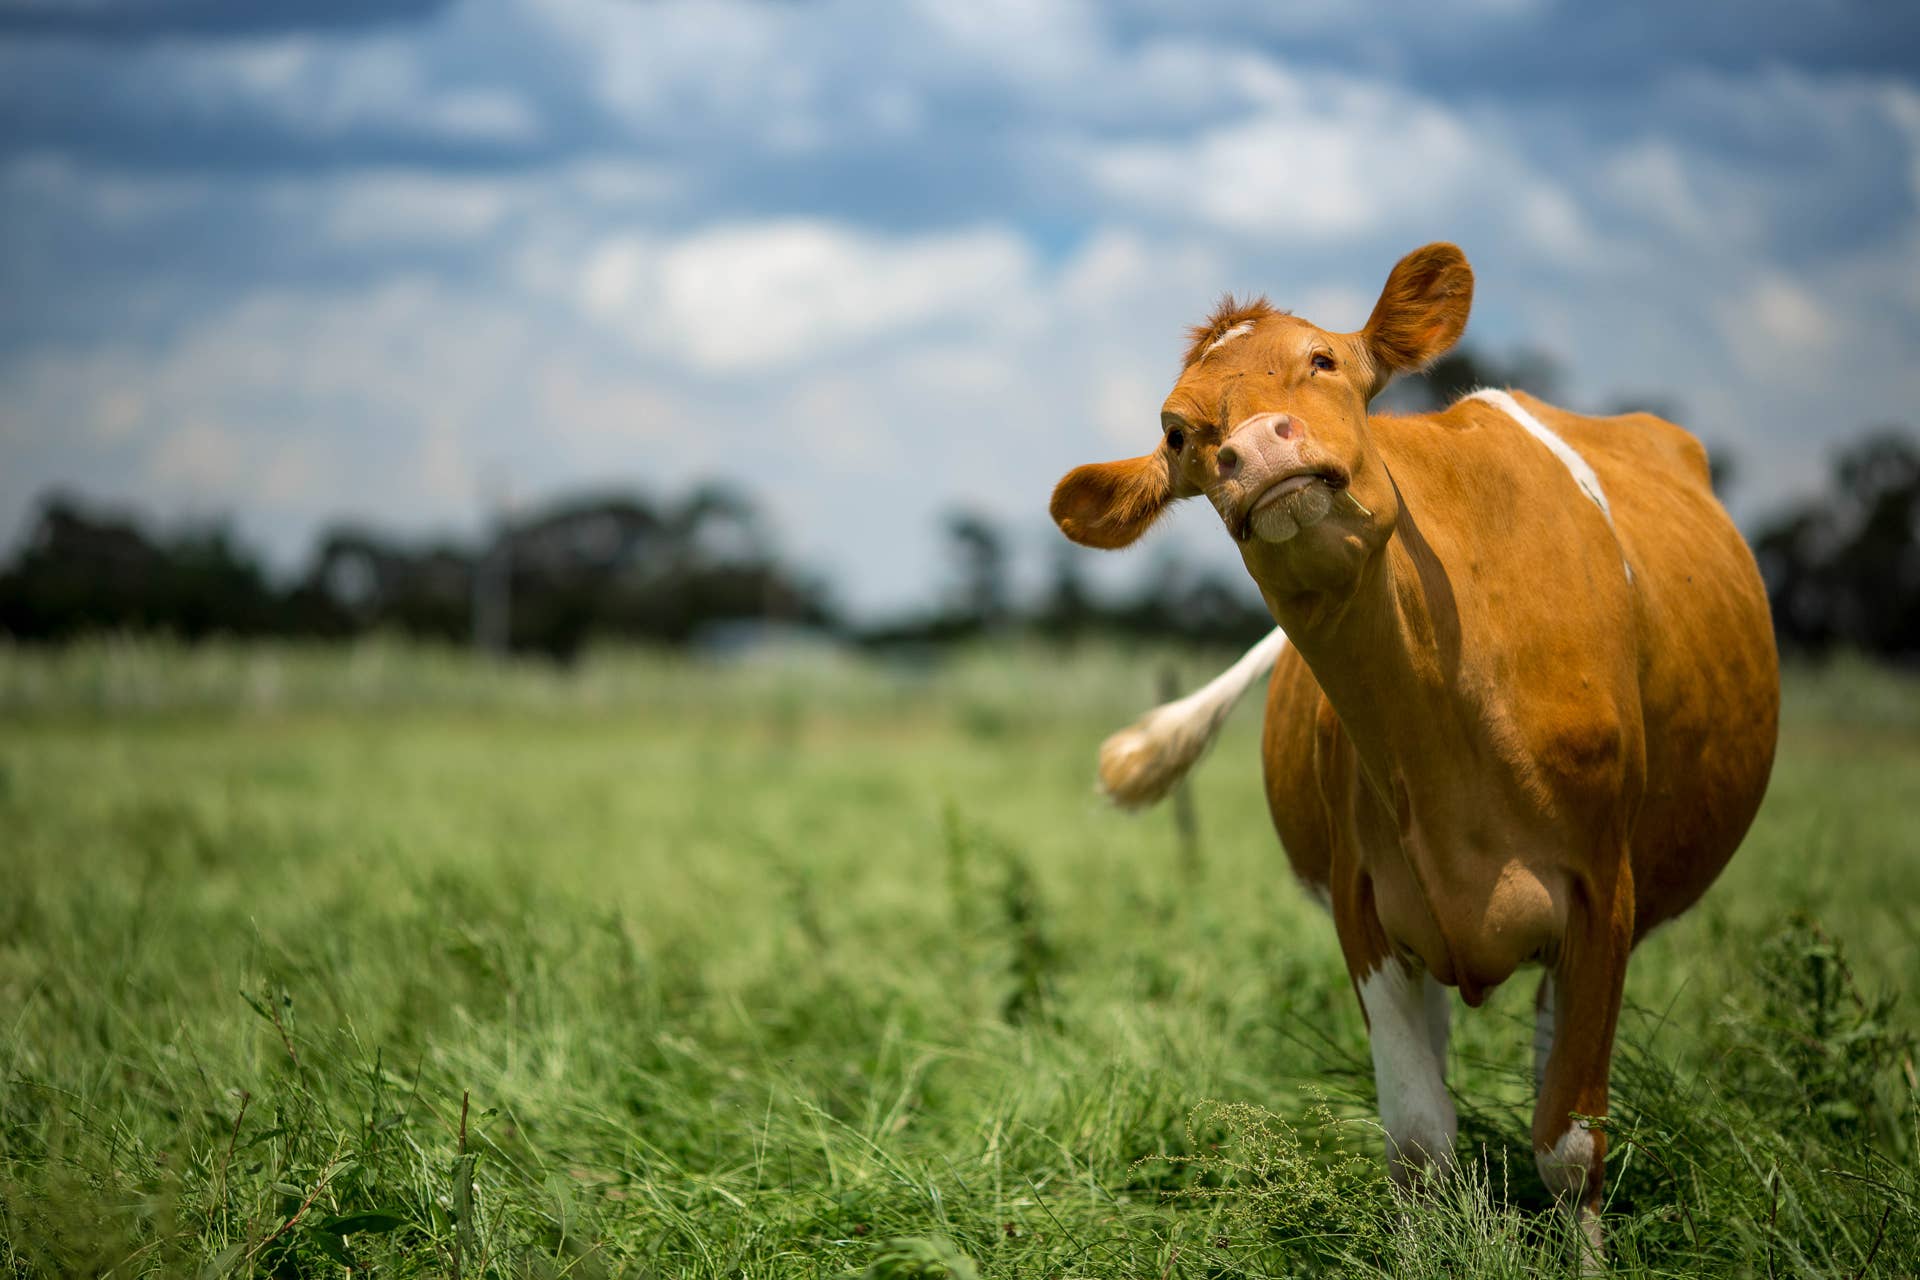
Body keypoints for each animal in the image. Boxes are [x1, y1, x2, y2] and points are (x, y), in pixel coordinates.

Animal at [1049, 243, 1779, 1261]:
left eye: (1323, 359)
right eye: (1179, 432)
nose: (1258, 449)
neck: (1447, 720)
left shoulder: (1606, 893)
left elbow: (1569, 1141)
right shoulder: (1364, 906)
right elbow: (1421, 1137)